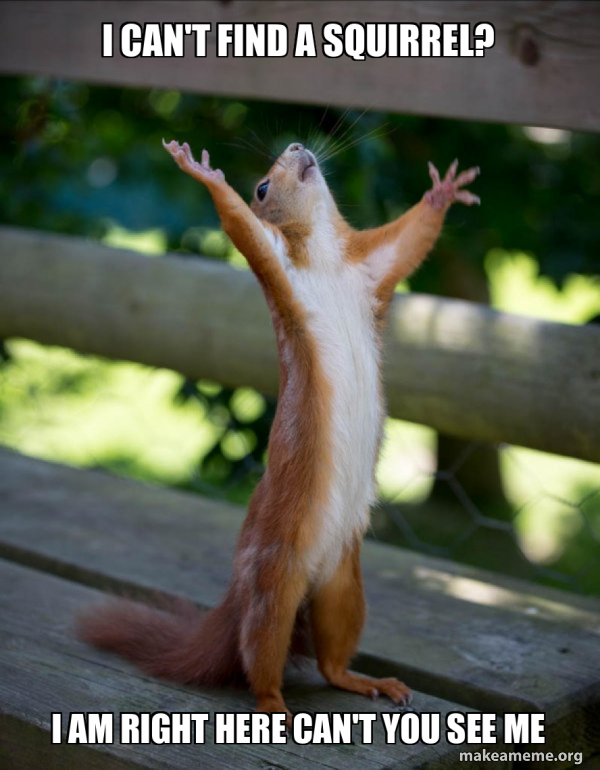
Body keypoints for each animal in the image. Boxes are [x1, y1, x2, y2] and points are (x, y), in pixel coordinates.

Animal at [78, 138, 479, 723]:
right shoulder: (277, 264)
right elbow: (240, 225)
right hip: (274, 585)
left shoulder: (371, 267)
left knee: (331, 660)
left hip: (343, 587)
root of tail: (239, 596)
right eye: (262, 187)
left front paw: (443, 192)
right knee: (259, 654)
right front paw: (204, 173)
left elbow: (410, 240)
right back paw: (273, 704)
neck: (327, 257)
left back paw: (366, 680)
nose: (296, 146)